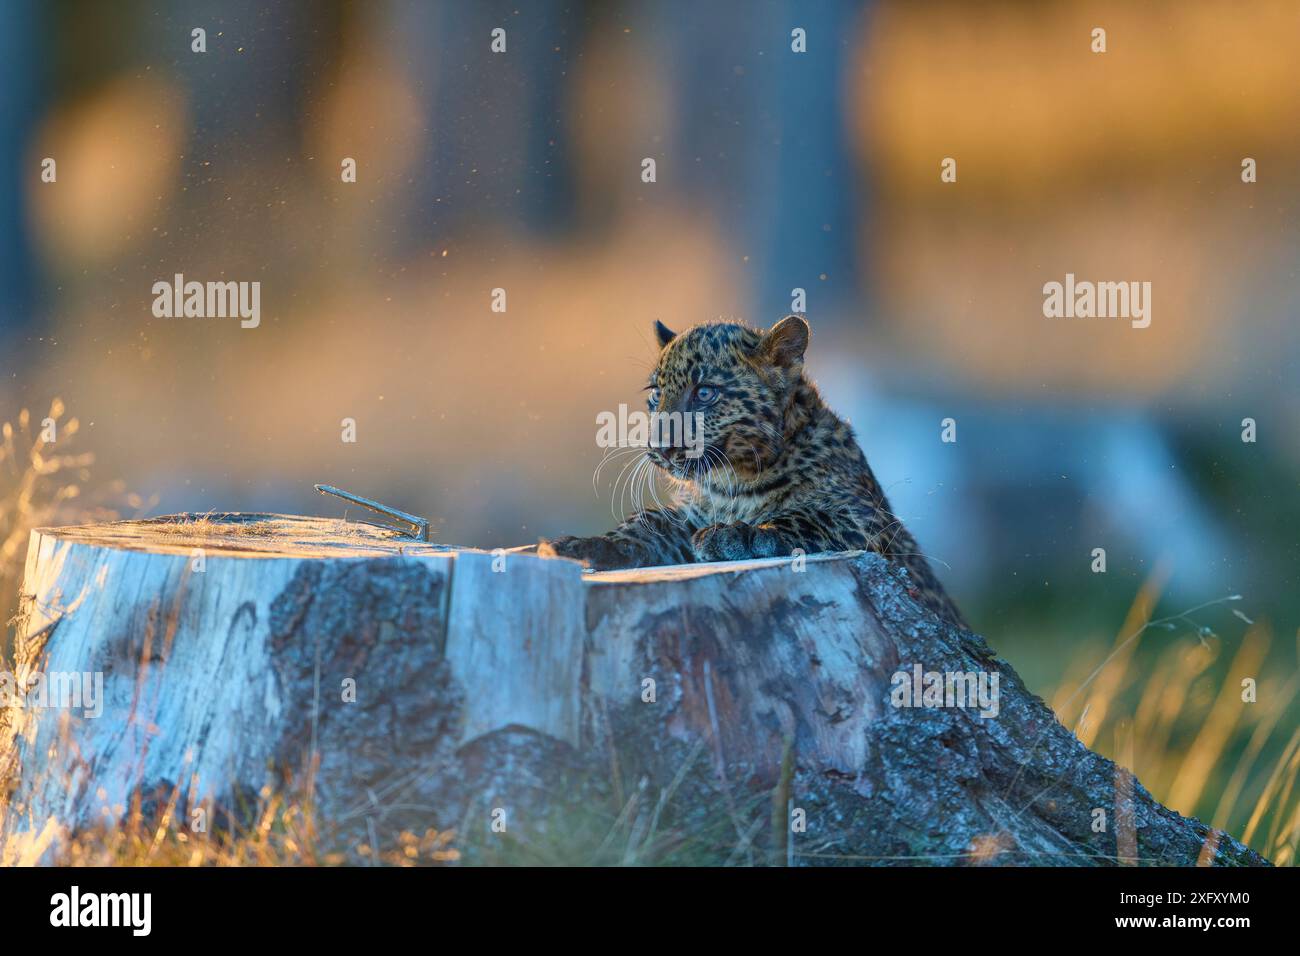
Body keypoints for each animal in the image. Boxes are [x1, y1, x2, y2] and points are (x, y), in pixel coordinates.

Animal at [540, 315, 966, 628]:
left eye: (705, 393)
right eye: (655, 395)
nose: (659, 449)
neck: (735, 481)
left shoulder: (867, 522)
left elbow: (807, 515)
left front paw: (740, 535)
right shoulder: (690, 517)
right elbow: (648, 523)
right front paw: (583, 546)